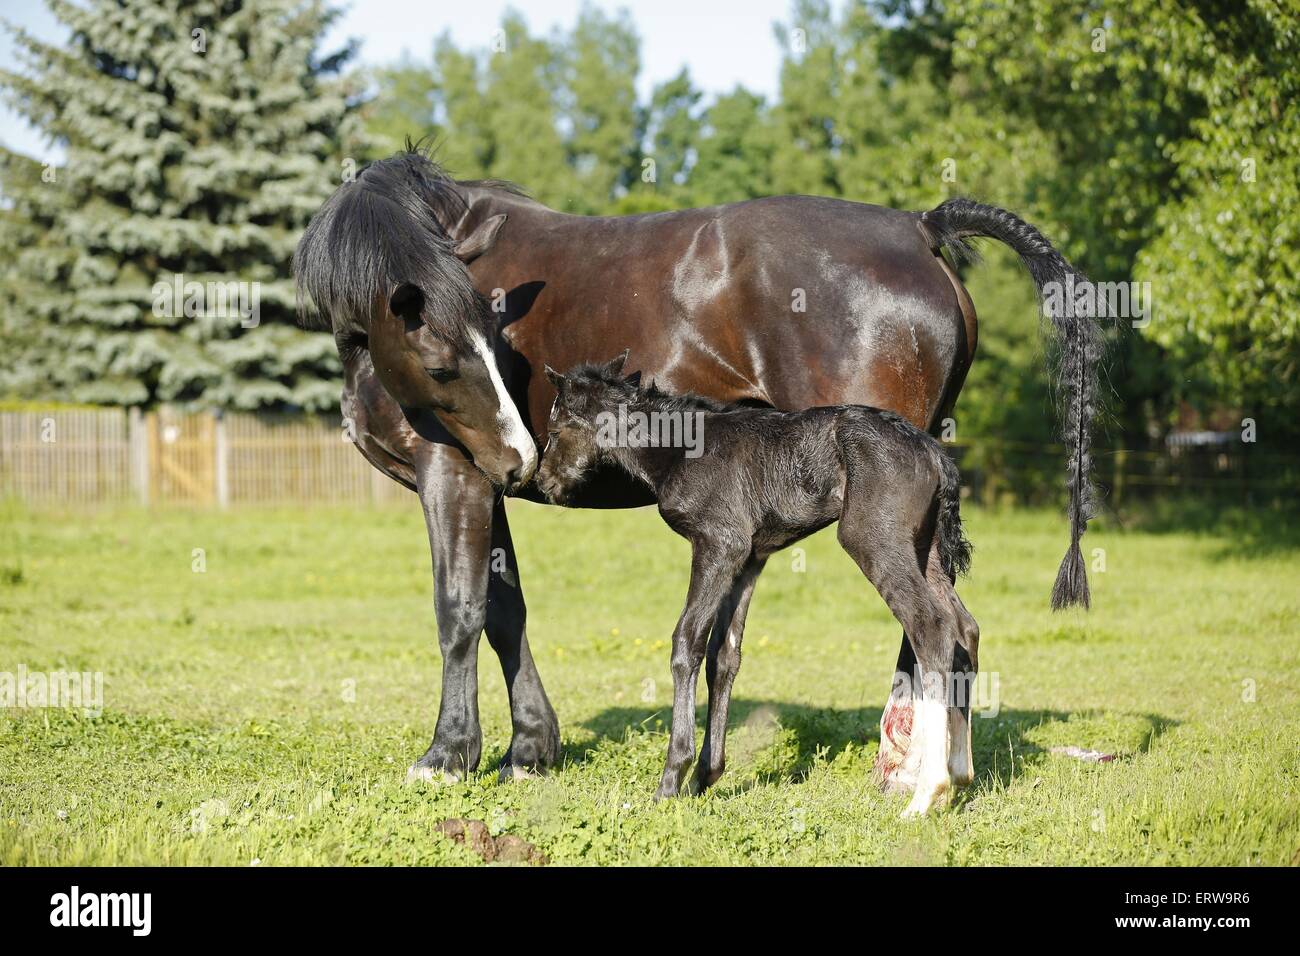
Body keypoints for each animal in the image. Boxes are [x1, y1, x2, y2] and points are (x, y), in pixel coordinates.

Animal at [535, 355, 978, 815]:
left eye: (555, 430)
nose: (544, 480)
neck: (679, 450)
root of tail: (934, 453)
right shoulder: (749, 559)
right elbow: (724, 655)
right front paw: (705, 777)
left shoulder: (718, 543)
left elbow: (687, 641)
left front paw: (671, 780)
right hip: (925, 550)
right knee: (964, 629)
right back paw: (960, 774)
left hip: (873, 538)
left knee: (931, 626)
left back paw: (926, 792)